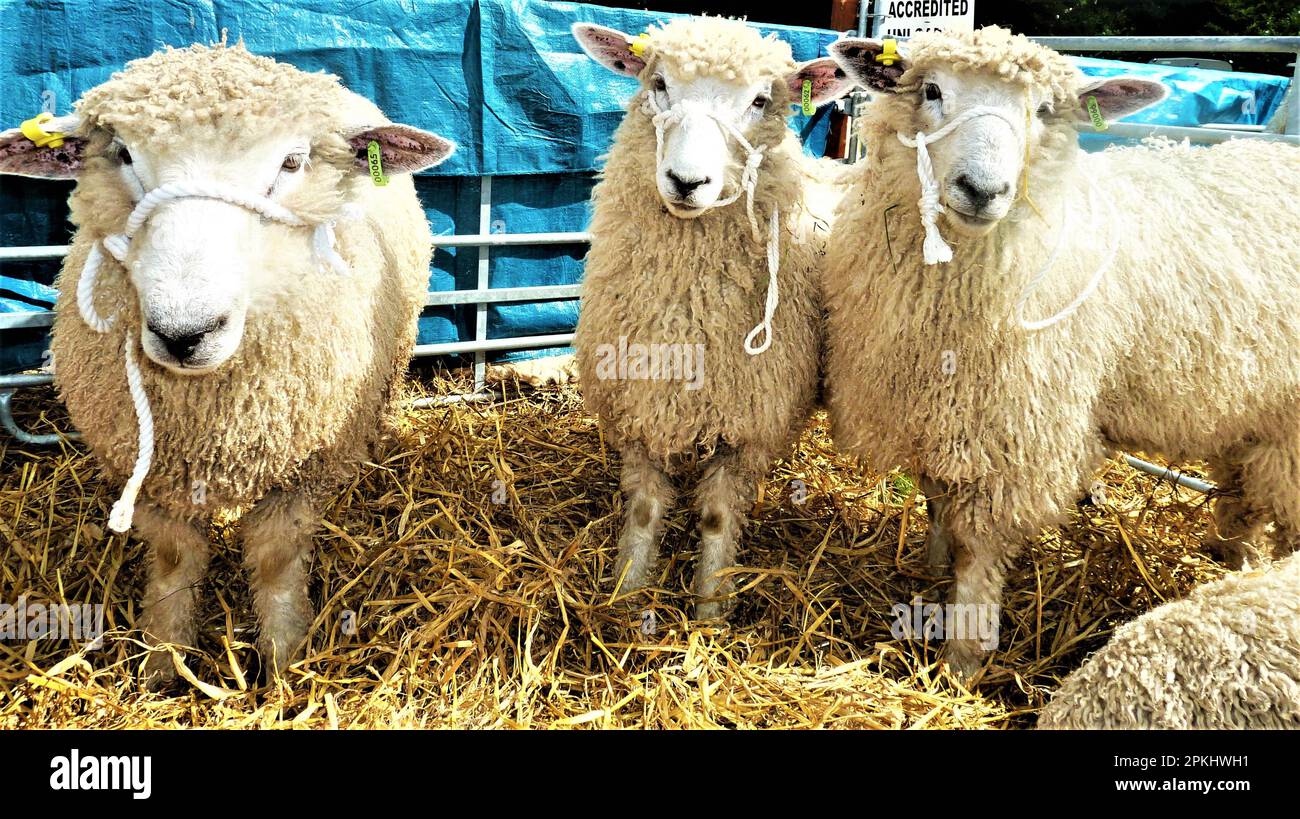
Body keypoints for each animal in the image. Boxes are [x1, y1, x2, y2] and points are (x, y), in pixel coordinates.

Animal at [0, 43, 453, 683]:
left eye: (293, 161)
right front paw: (163, 662)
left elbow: (275, 560)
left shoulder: (303, 467)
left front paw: (284, 662)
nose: (184, 333)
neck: (210, 405)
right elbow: (175, 557)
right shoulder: (152, 471)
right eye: (123, 154)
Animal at [571, 17, 853, 618]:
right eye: (658, 84)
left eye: (761, 100)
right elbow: (644, 511)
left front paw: (709, 611)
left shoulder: (748, 424)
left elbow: (719, 517)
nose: (686, 181)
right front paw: (628, 591)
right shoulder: (639, 404)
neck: (685, 310)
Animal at [824, 26, 1300, 677]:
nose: (982, 190)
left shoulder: (1012, 430)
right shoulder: (942, 406)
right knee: (1246, 495)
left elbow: (979, 545)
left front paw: (962, 657)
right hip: (1251, 410)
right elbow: (938, 501)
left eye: (1046, 111)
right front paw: (930, 568)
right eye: (931, 90)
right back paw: (1231, 558)